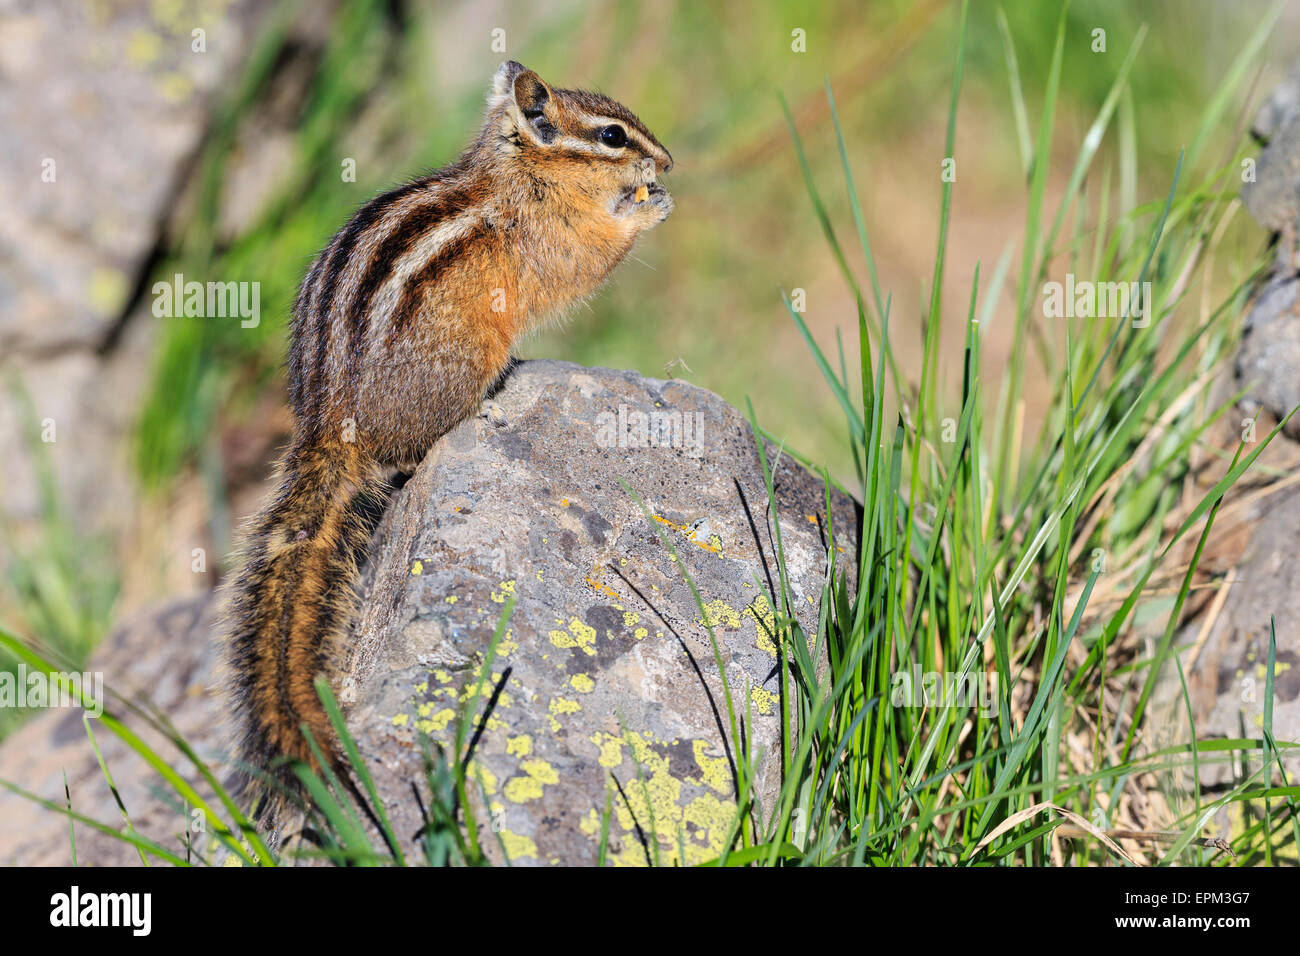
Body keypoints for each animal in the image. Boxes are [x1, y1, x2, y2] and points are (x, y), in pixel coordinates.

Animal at [221, 60, 673, 819]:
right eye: (613, 136)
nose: (666, 162)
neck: (519, 173)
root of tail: (327, 428)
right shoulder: (551, 239)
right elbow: (586, 262)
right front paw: (649, 208)